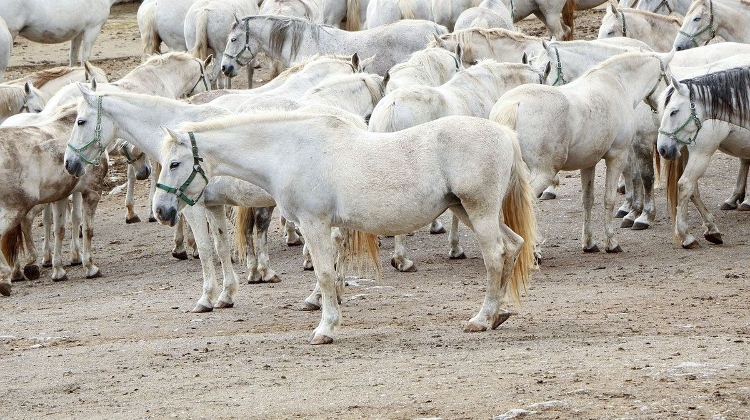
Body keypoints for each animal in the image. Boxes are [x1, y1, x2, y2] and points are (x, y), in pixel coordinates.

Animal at [152, 110, 537, 344]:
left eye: (174, 163)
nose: (160, 210)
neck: (289, 151)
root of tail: (505, 134)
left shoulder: (314, 224)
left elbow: (324, 275)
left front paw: (325, 328)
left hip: (479, 212)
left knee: (495, 256)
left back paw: (482, 318)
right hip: (469, 212)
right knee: (513, 246)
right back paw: (499, 314)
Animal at [491, 51, 673, 253]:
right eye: (669, 80)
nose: (661, 110)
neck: (617, 84)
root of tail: (514, 104)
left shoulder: (588, 163)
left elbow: (588, 200)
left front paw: (589, 243)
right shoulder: (617, 156)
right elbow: (609, 199)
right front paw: (611, 242)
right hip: (542, 173)